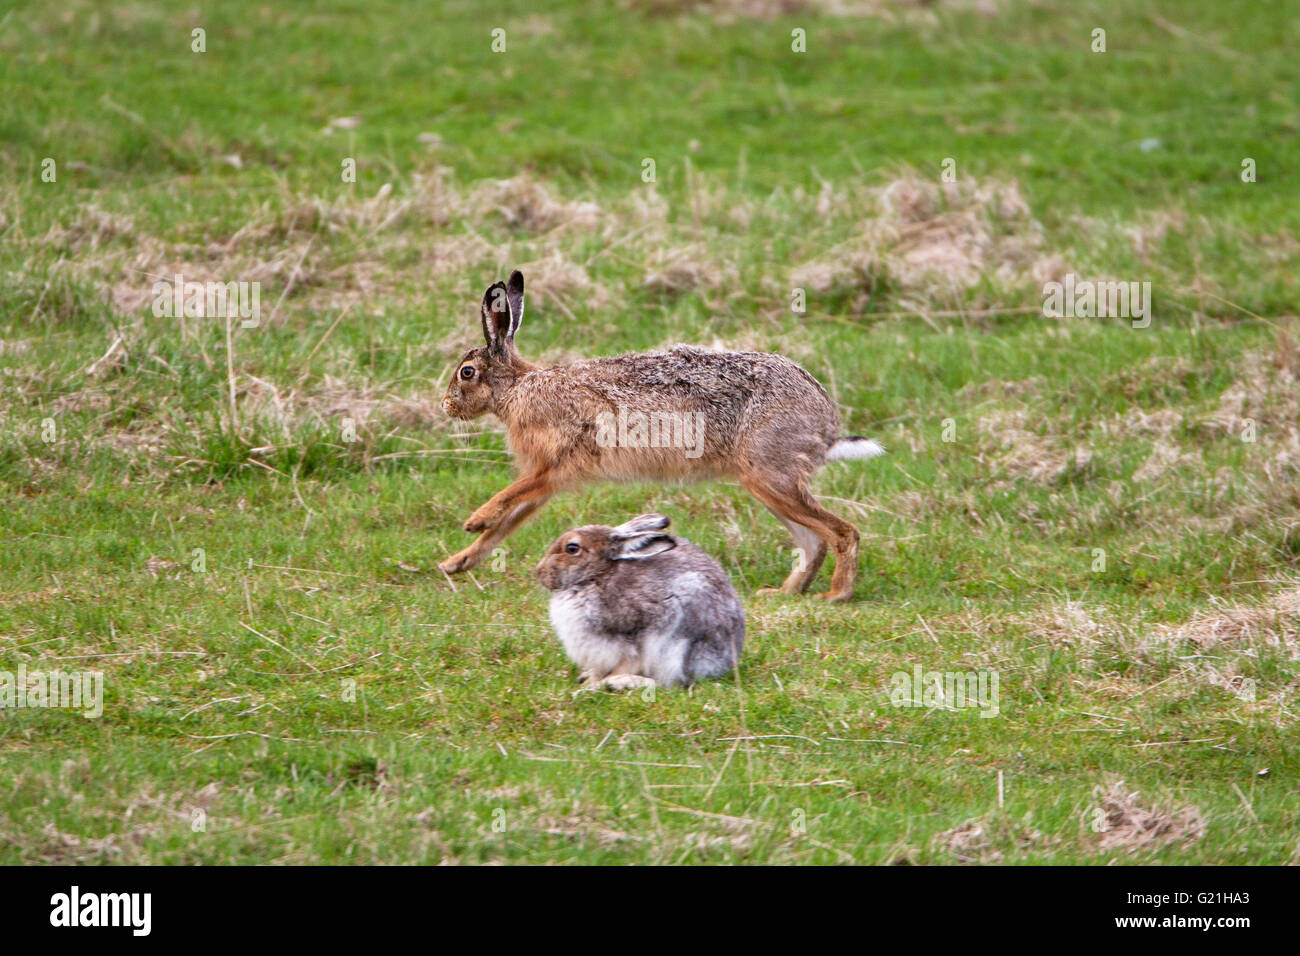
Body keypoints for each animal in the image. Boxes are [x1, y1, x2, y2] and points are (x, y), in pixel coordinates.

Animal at [440, 269, 886, 602]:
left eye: (467, 372)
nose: (446, 405)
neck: (518, 389)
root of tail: (826, 422)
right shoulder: (546, 481)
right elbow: (505, 525)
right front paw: (456, 563)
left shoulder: (550, 467)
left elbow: (507, 498)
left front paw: (474, 520)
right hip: (767, 484)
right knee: (813, 541)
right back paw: (783, 593)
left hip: (771, 475)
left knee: (843, 532)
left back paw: (836, 595)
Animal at [535, 514, 745, 690]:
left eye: (572, 548)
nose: (539, 572)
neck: (597, 575)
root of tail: (724, 663)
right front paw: (589, 679)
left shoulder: (633, 638)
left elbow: (626, 663)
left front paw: (594, 686)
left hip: (674, 646)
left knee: (669, 684)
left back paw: (622, 683)